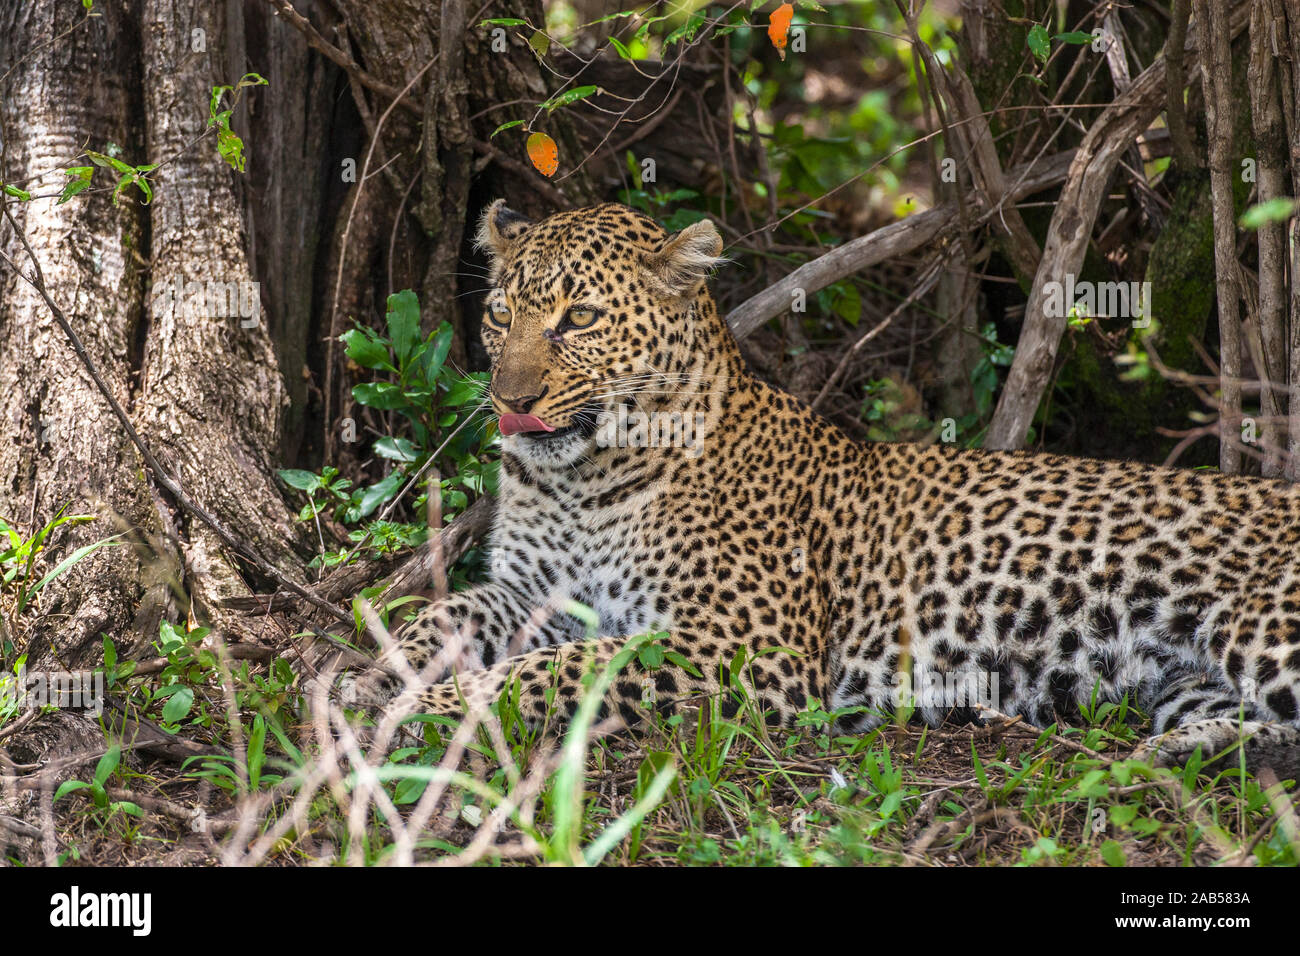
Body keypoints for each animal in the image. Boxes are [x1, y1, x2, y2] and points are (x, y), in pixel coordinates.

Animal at [358, 199, 1300, 779]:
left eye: (579, 319)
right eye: (498, 316)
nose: (508, 400)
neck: (582, 479)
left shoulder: (739, 646)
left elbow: (553, 672)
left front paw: (422, 707)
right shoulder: (529, 592)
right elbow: (439, 617)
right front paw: (365, 678)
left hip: (1262, 625)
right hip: (1184, 676)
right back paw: (1196, 753)